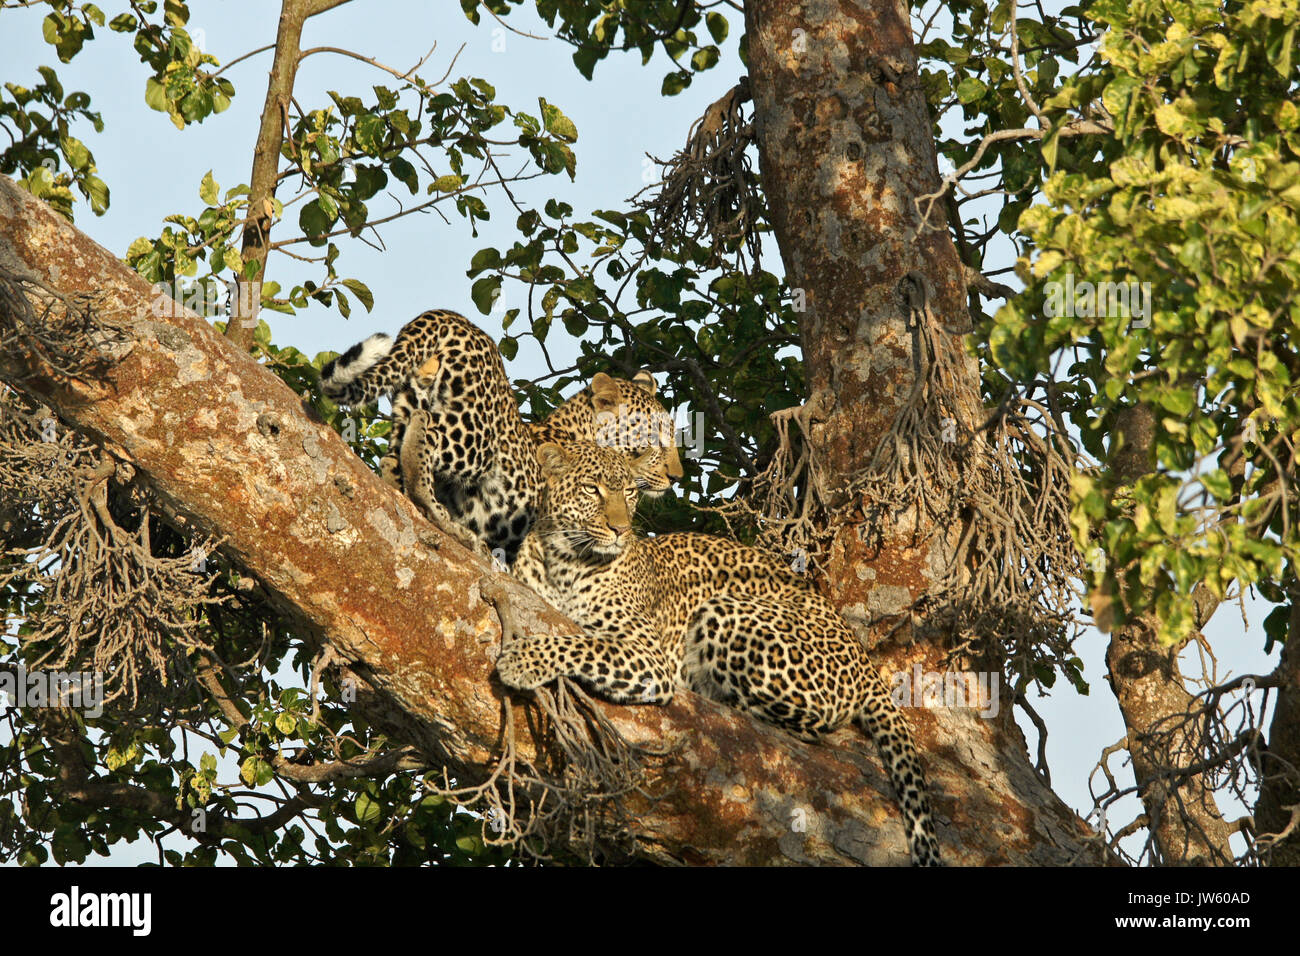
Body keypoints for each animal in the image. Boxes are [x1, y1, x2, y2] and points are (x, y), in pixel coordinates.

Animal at [321, 309, 681, 563]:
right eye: (654, 436)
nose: (676, 477)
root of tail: (448, 317)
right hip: (475, 439)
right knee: (424, 434)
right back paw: (444, 519)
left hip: (410, 398)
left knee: (392, 456)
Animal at [497, 440, 942, 866]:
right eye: (592, 489)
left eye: (629, 493)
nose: (621, 530)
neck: (563, 562)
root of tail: (864, 660)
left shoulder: (649, 657)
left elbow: (583, 644)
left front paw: (522, 660)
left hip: (727, 613)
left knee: (810, 727)